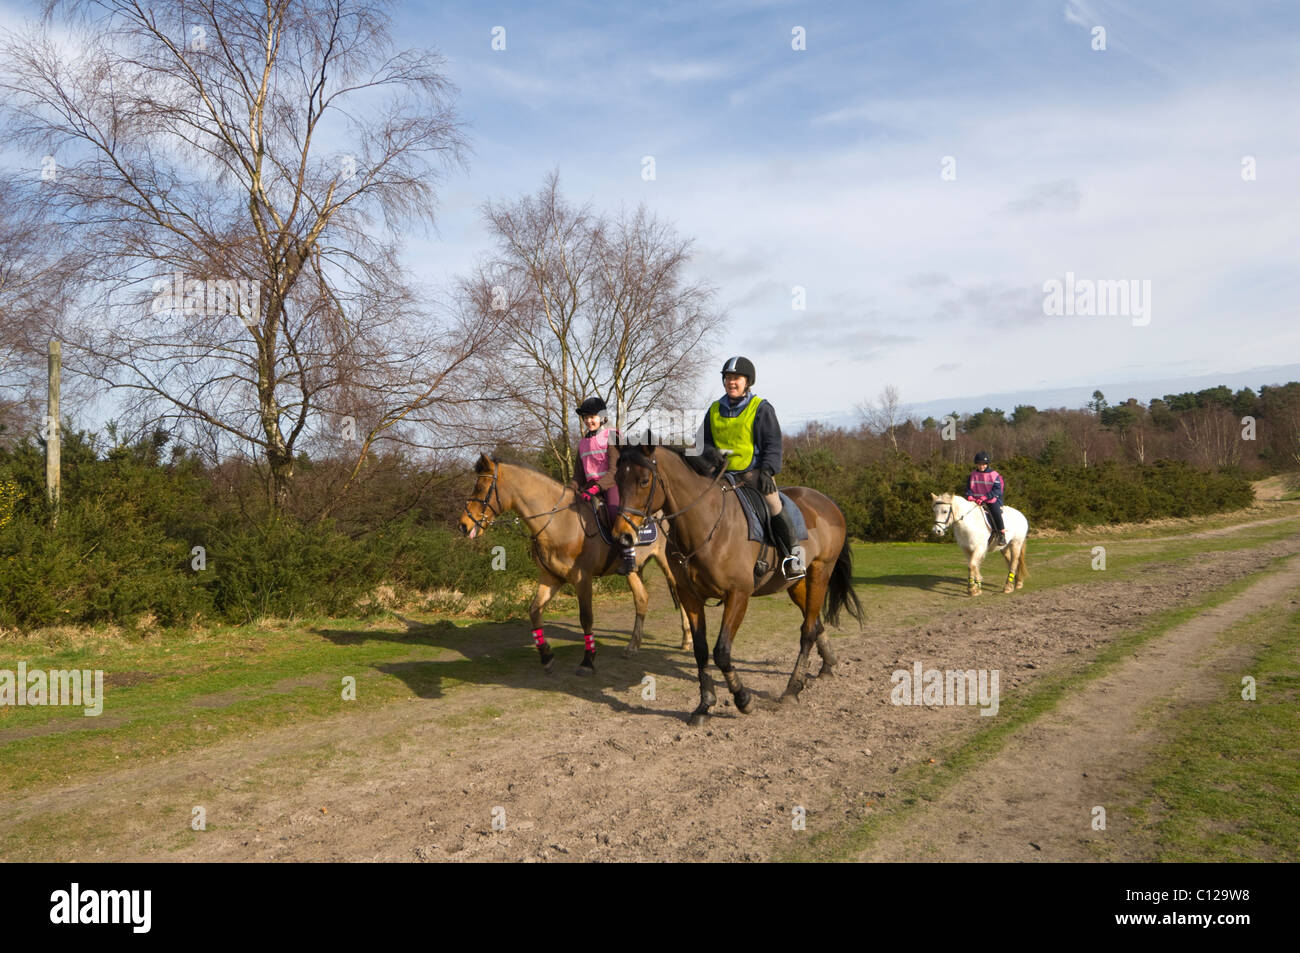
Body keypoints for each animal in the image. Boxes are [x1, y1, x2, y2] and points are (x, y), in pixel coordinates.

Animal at [458, 454, 692, 674]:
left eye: (481, 487)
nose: (463, 524)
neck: (558, 521)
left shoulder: (582, 579)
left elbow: (586, 618)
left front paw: (588, 661)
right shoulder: (551, 579)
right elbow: (534, 611)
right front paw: (546, 656)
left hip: (669, 564)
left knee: (681, 597)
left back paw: (687, 639)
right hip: (633, 570)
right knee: (642, 598)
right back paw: (632, 646)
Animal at [613, 443, 864, 726]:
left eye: (644, 481)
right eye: (617, 479)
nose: (622, 536)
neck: (706, 525)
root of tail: (826, 501)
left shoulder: (738, 595)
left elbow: (722, 651)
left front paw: (743, 699)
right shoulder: (690, 597)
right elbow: (701, 650)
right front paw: (705, 705)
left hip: (820, 572)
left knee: (808, 630)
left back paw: (792, 689)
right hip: (796, 583)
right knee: (816, 622)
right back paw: (828, 664)